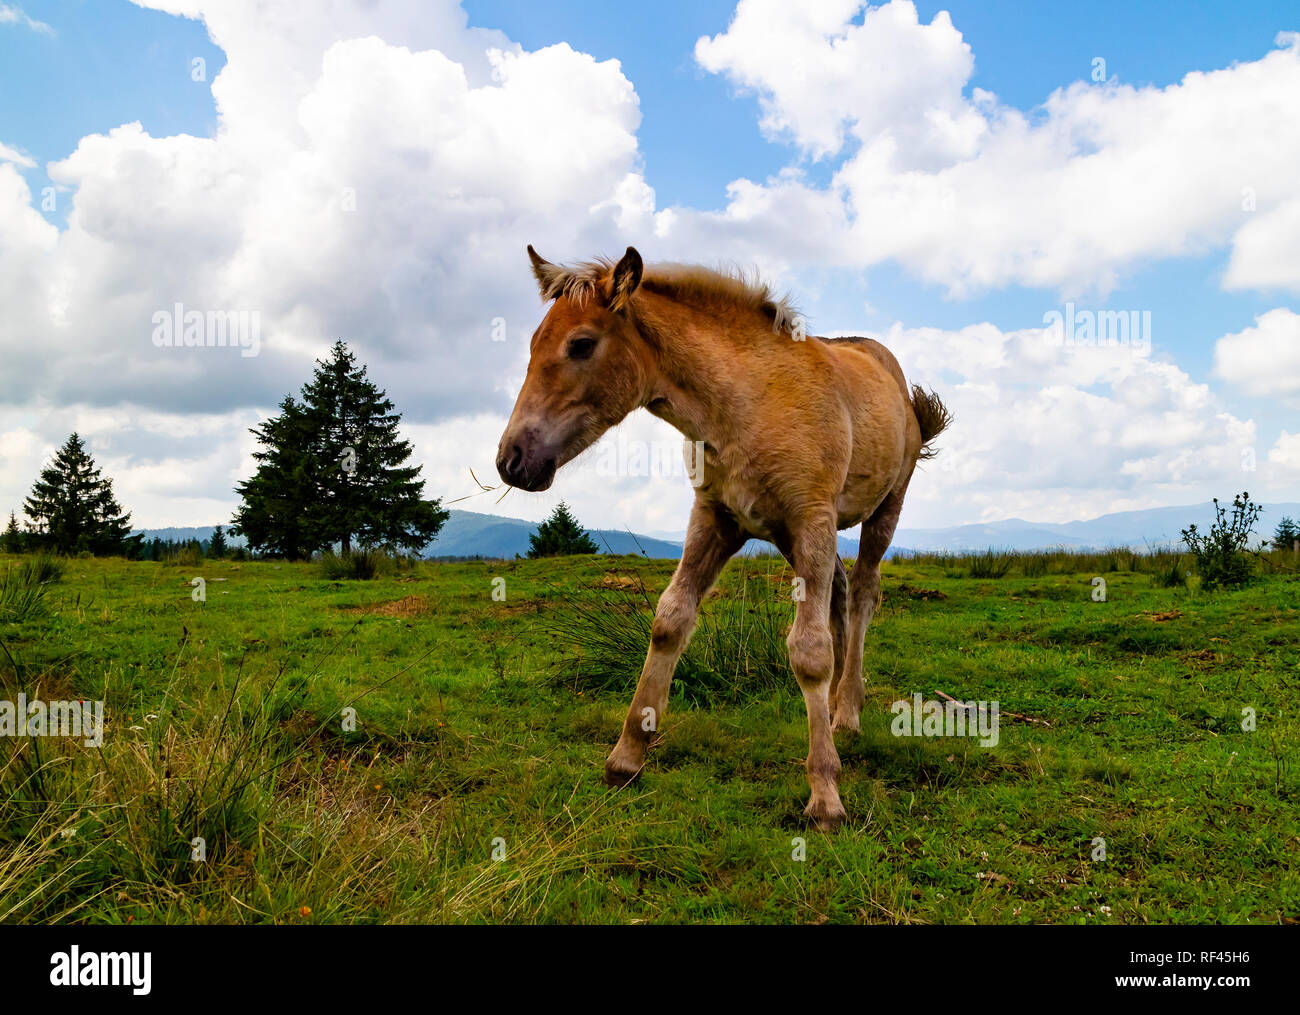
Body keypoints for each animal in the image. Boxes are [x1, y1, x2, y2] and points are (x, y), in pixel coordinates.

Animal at [497, 245, 951, 828]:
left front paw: (825, 794)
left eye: (581, 344)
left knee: (865, 592)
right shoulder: (716, 518)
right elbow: (671, 620)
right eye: (533, 342)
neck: (749, 405)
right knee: (841, 594)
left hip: (881, 509)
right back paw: (835, 707)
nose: (512, 460)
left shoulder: (811, 519)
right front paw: (626, 757)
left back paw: (848, 711)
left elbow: (809, 651)